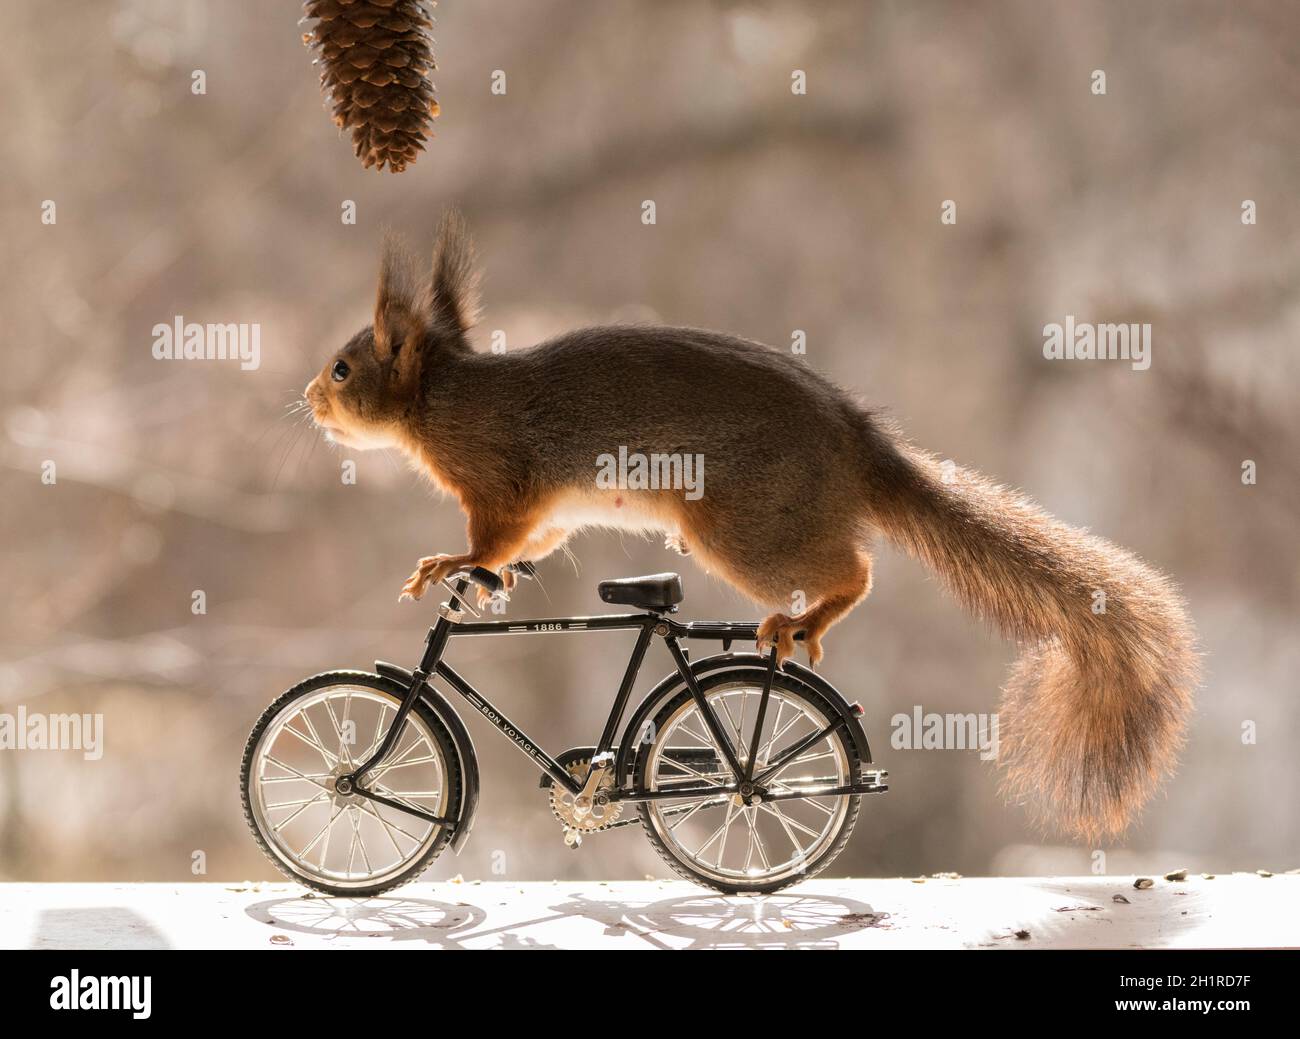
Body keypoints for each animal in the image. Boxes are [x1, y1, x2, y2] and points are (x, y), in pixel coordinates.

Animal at [304, 211, 1199, 841]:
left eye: (345, 368)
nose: (309, 400)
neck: (443, 399)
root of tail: (857, 445)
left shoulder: (500, 478)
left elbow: (491, 534)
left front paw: (450, 563)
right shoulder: (548, 513)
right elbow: (532, 545)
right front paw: (489, 581)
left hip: (739, 527)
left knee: (856, 569)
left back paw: (805, 618)